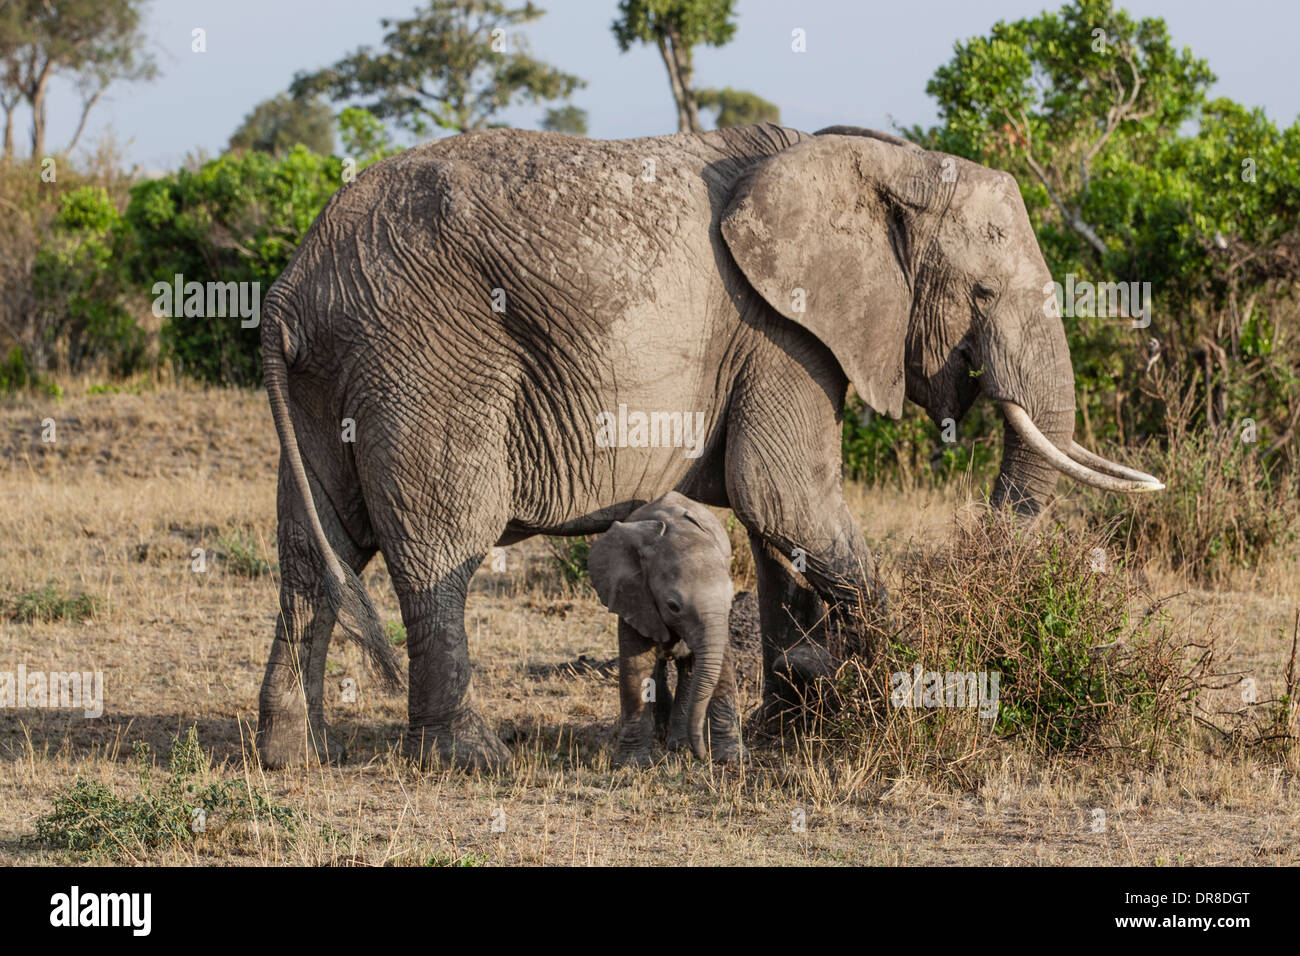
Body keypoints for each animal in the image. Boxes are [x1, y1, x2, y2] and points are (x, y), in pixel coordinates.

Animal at [588, 492, 741, 767]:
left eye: (732, 599)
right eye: (673, 606)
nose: (702, 756)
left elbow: (722, 665)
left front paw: (729, 759)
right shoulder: (634, 596)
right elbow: (635, 669)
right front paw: (632, 764)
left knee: (688, 669)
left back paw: (677, 744)